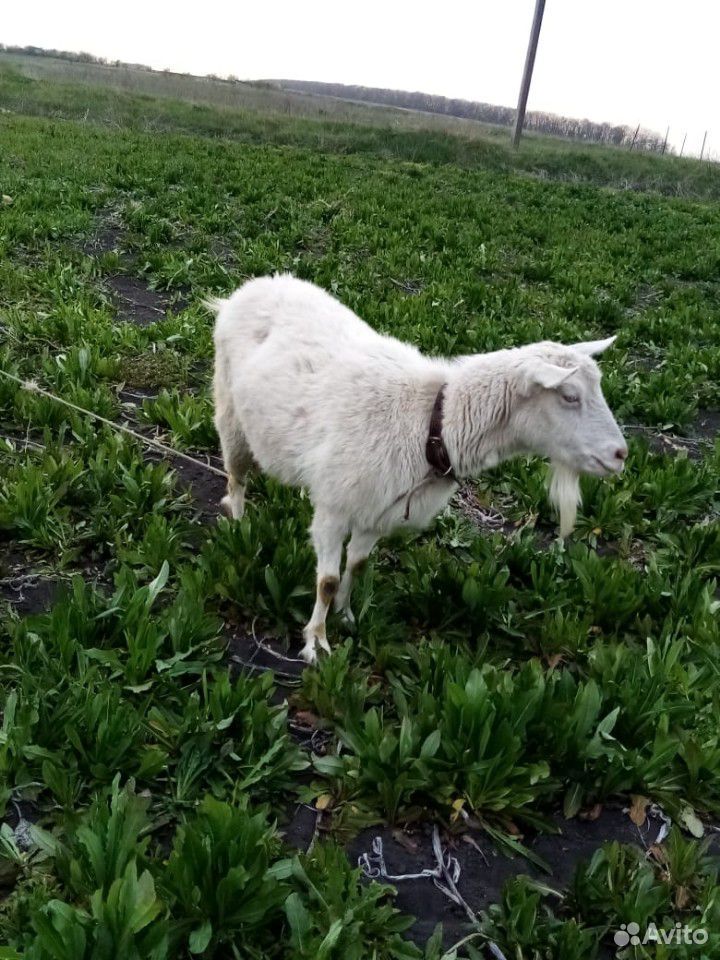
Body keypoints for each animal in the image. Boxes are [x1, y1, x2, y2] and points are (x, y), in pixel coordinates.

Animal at [210, 275, 627, 662]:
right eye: (570, 396)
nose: (620, 453)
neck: (430, 424)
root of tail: (252, 287)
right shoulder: (335, 506)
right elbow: (326, 580)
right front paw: (317, 643)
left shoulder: (378, 511)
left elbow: (356, 565)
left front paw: (347, 616)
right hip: (228, 404)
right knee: (236, 473)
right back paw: (238, 525)